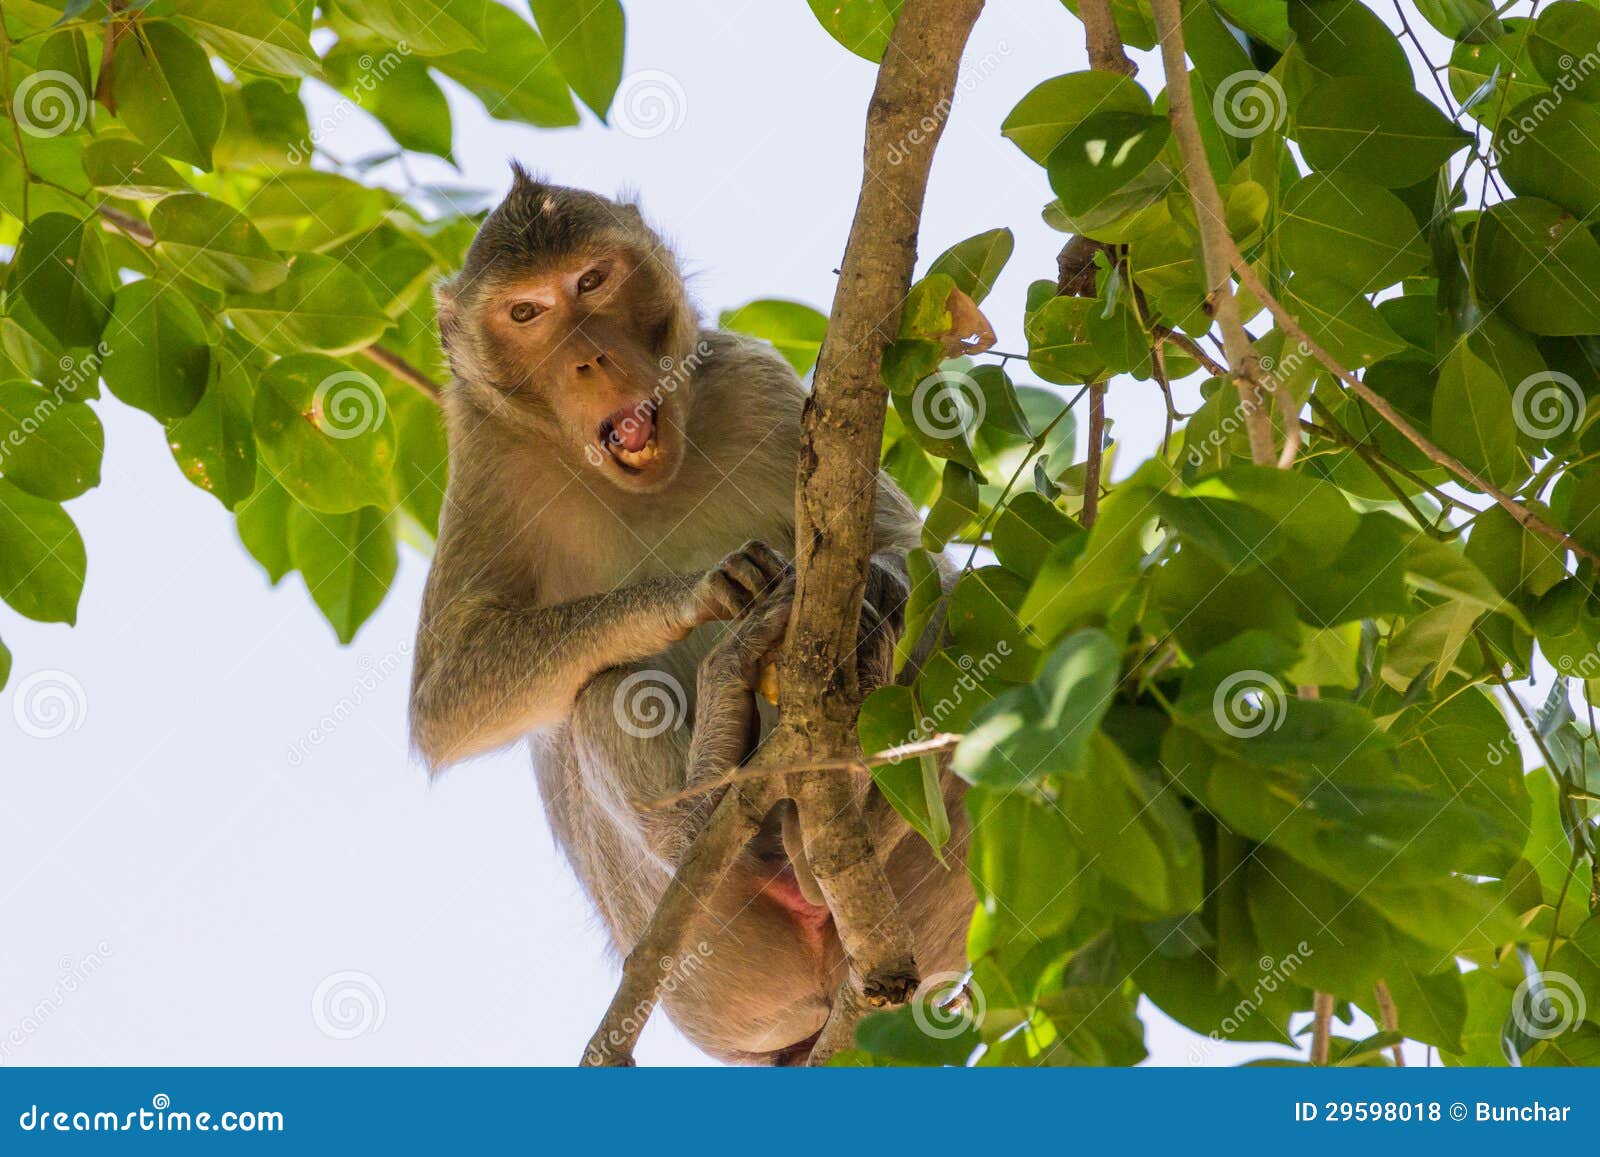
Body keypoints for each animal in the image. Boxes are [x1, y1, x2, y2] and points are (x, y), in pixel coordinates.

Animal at [408, 167, 973, 1065]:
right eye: (525, 313)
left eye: (592, 281)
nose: (591, 358)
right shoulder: (484, 454)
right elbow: (446, 700)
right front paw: (701, 592)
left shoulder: (753, 378)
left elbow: (911, 553)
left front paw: (881, 584)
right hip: (711, 970)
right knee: (605, 693)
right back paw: (720, 795)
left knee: (955, 605)